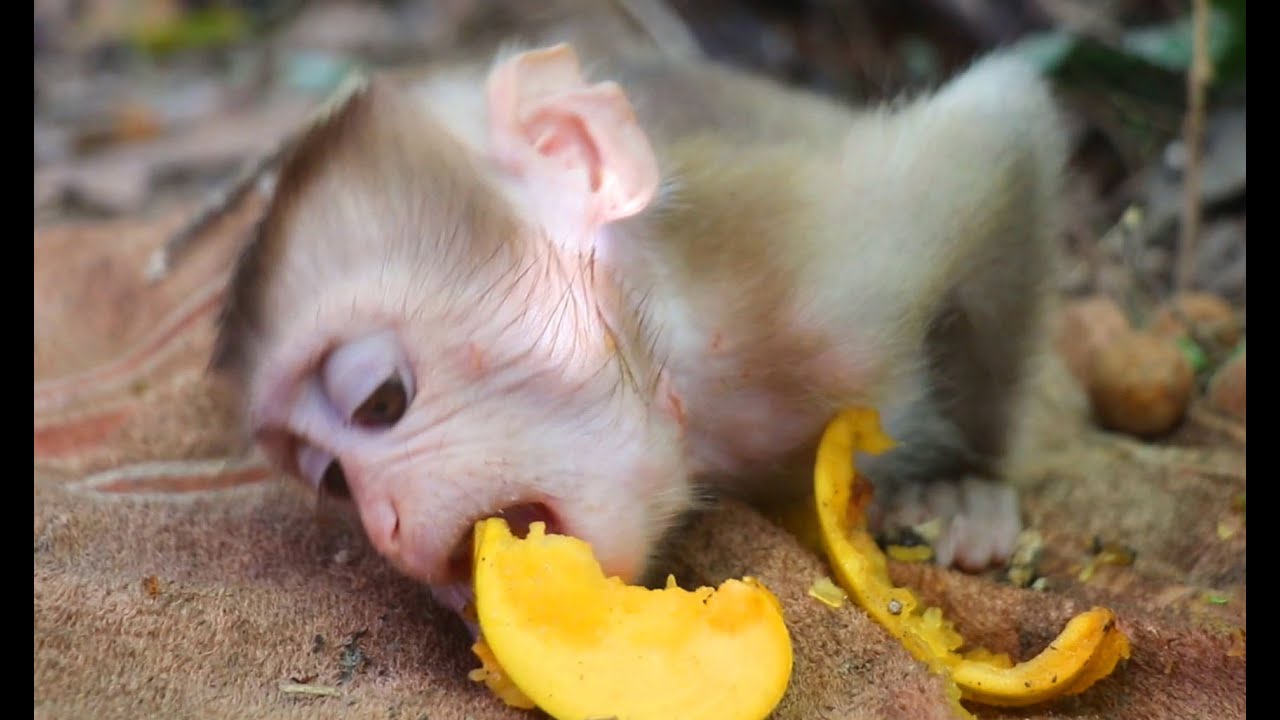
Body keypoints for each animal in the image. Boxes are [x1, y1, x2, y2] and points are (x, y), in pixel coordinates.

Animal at [204, 10, 1065, 622]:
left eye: (379, 399)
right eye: (334, 483)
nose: (384, 526)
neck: (684, 356)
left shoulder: (827, 283)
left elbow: (1005, 128)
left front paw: (962, 482)